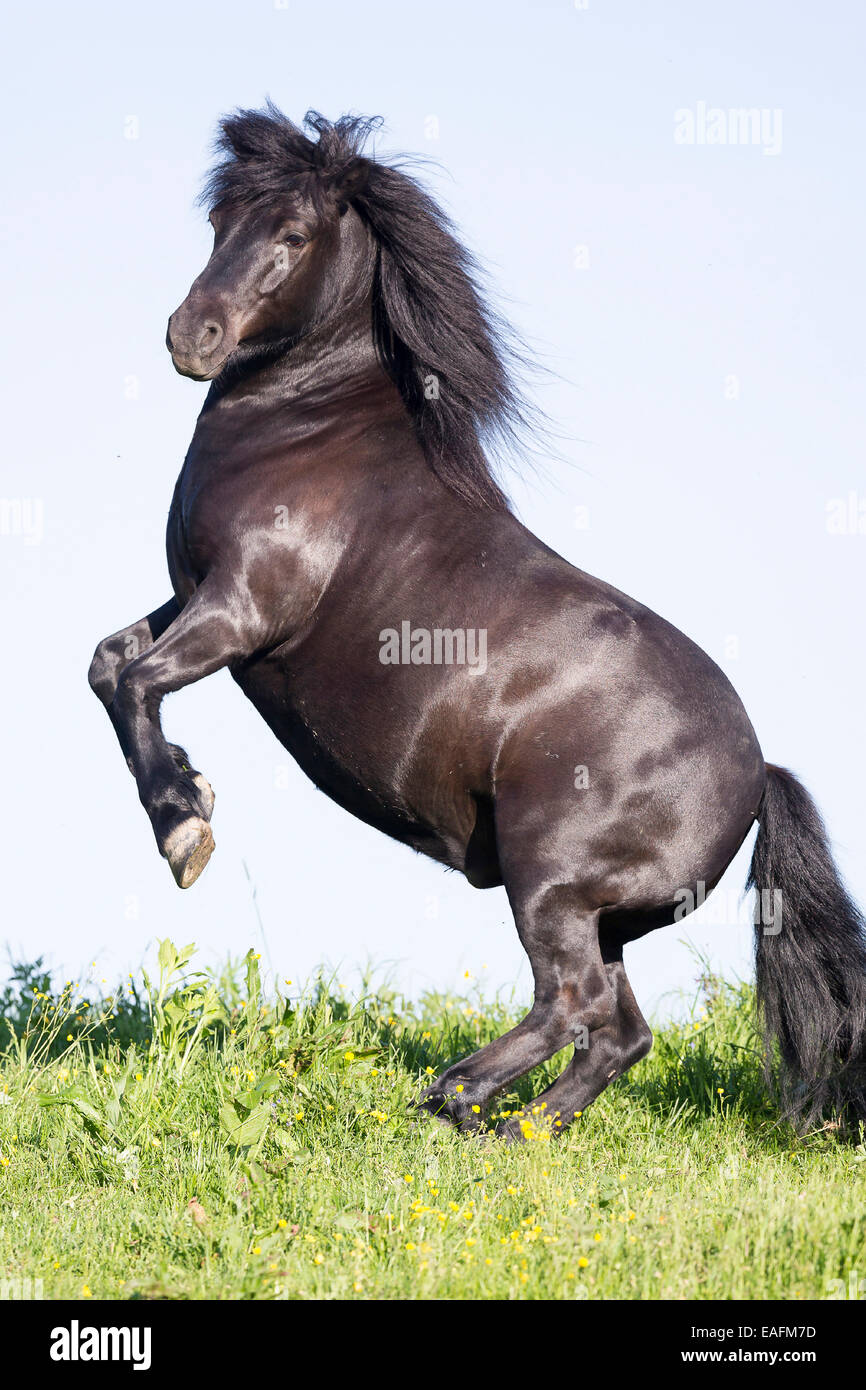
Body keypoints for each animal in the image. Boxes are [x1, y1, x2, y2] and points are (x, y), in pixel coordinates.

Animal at [89, 105, 866, 1140]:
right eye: (218, 223)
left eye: (292, 235)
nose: (190, 336)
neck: (312, 433)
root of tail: (756, 772)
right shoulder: (196, 597)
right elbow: (109, 660)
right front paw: (194, 790)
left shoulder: (243, 612)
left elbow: (135, 680)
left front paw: (185, 832)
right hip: (598, 914)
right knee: (616, 1033)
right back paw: (504, 1126)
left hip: (553, 882)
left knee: (573, 1007)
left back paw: (452, 1092)